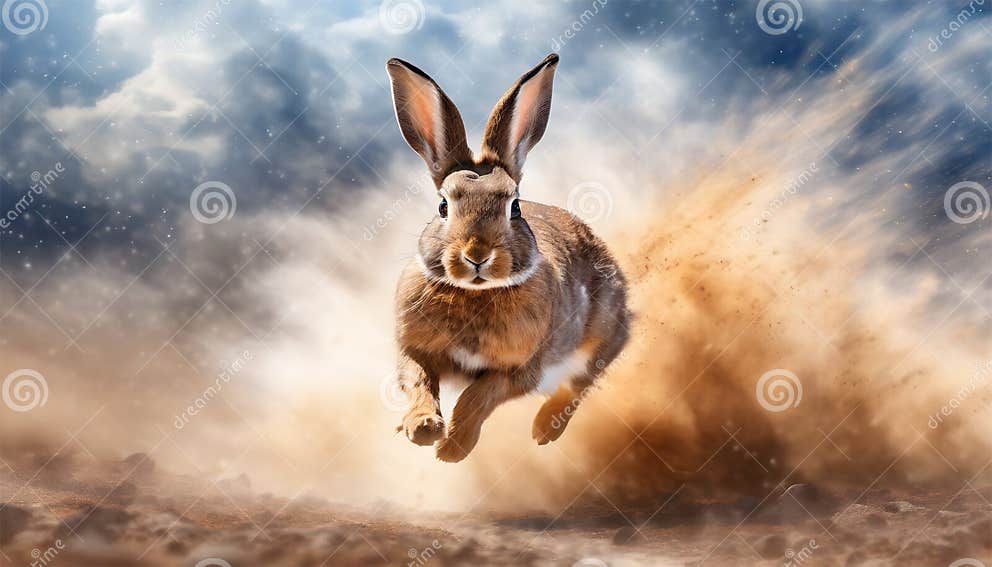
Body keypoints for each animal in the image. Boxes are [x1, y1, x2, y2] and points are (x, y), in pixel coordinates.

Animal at [386, 53, 630, 462]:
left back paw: (545, 429)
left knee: (580, 382)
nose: (477, 255)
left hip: (598, 335)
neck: (476, 292)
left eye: (514, 207)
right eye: (442, 206)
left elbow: (479, 396)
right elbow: (419, 382)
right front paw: (422, 428)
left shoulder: (520, 369)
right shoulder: (414, 349)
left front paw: (451, 448)